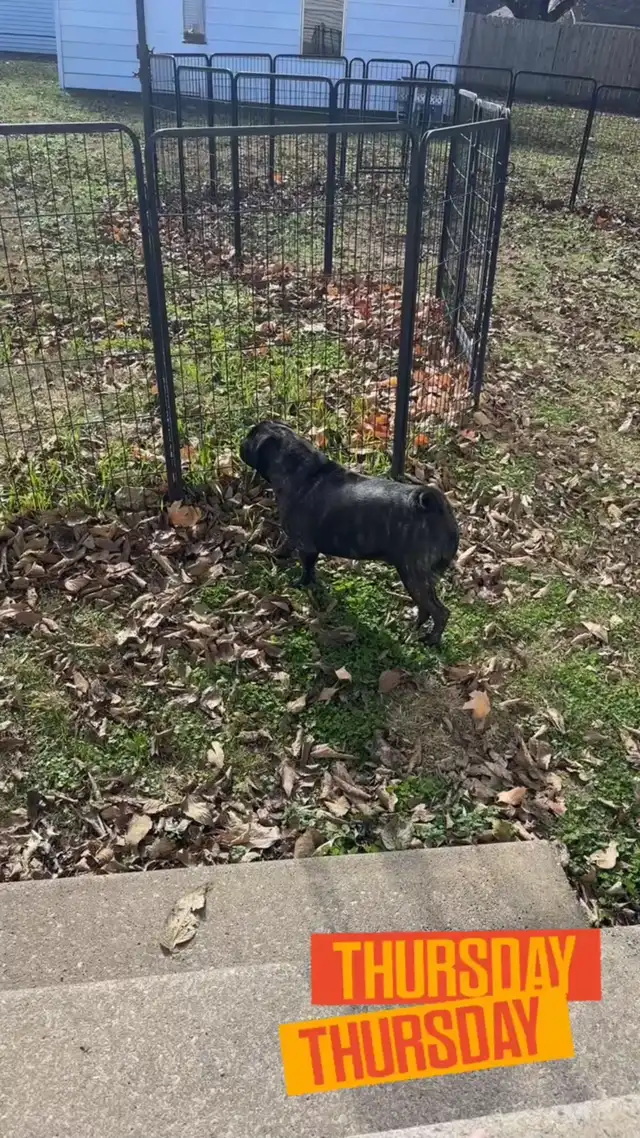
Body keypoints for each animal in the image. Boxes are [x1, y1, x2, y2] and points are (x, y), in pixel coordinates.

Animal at [240, 420, 459, 646]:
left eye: (251, 436)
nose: (242, 441)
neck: (302, 469)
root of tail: (437, 509)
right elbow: (286, 544)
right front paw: (275, 553)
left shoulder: (306, 548)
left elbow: (307, 570)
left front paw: (300, 585)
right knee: (425, 608)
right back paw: (413, 630)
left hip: (414, 576)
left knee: (439, 612)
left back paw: (432, 639)